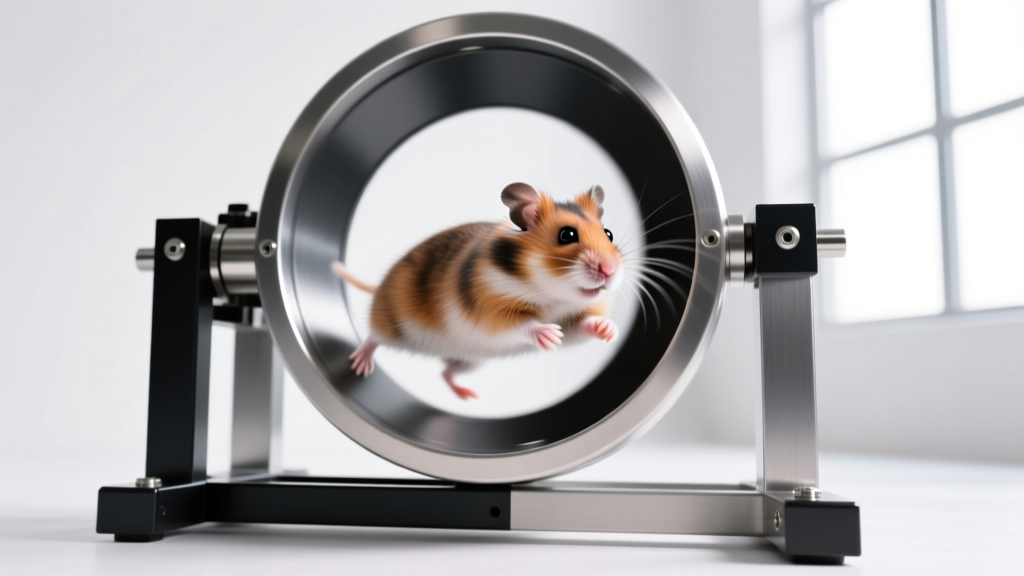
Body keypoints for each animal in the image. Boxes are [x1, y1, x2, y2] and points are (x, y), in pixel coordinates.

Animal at [333, 182, 623, 400]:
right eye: (567, 235)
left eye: (608, 234)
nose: (610, 271)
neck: (551, 295)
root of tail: (380, 287)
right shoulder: (490, 311)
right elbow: (521, 324)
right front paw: (550, 336)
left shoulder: (574, 318)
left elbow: (582, 326)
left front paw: (609, 331)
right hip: (392, 323)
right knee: (372, 337)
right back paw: (360, 365)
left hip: (470, 360)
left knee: (445, 373)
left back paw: (468, 396)